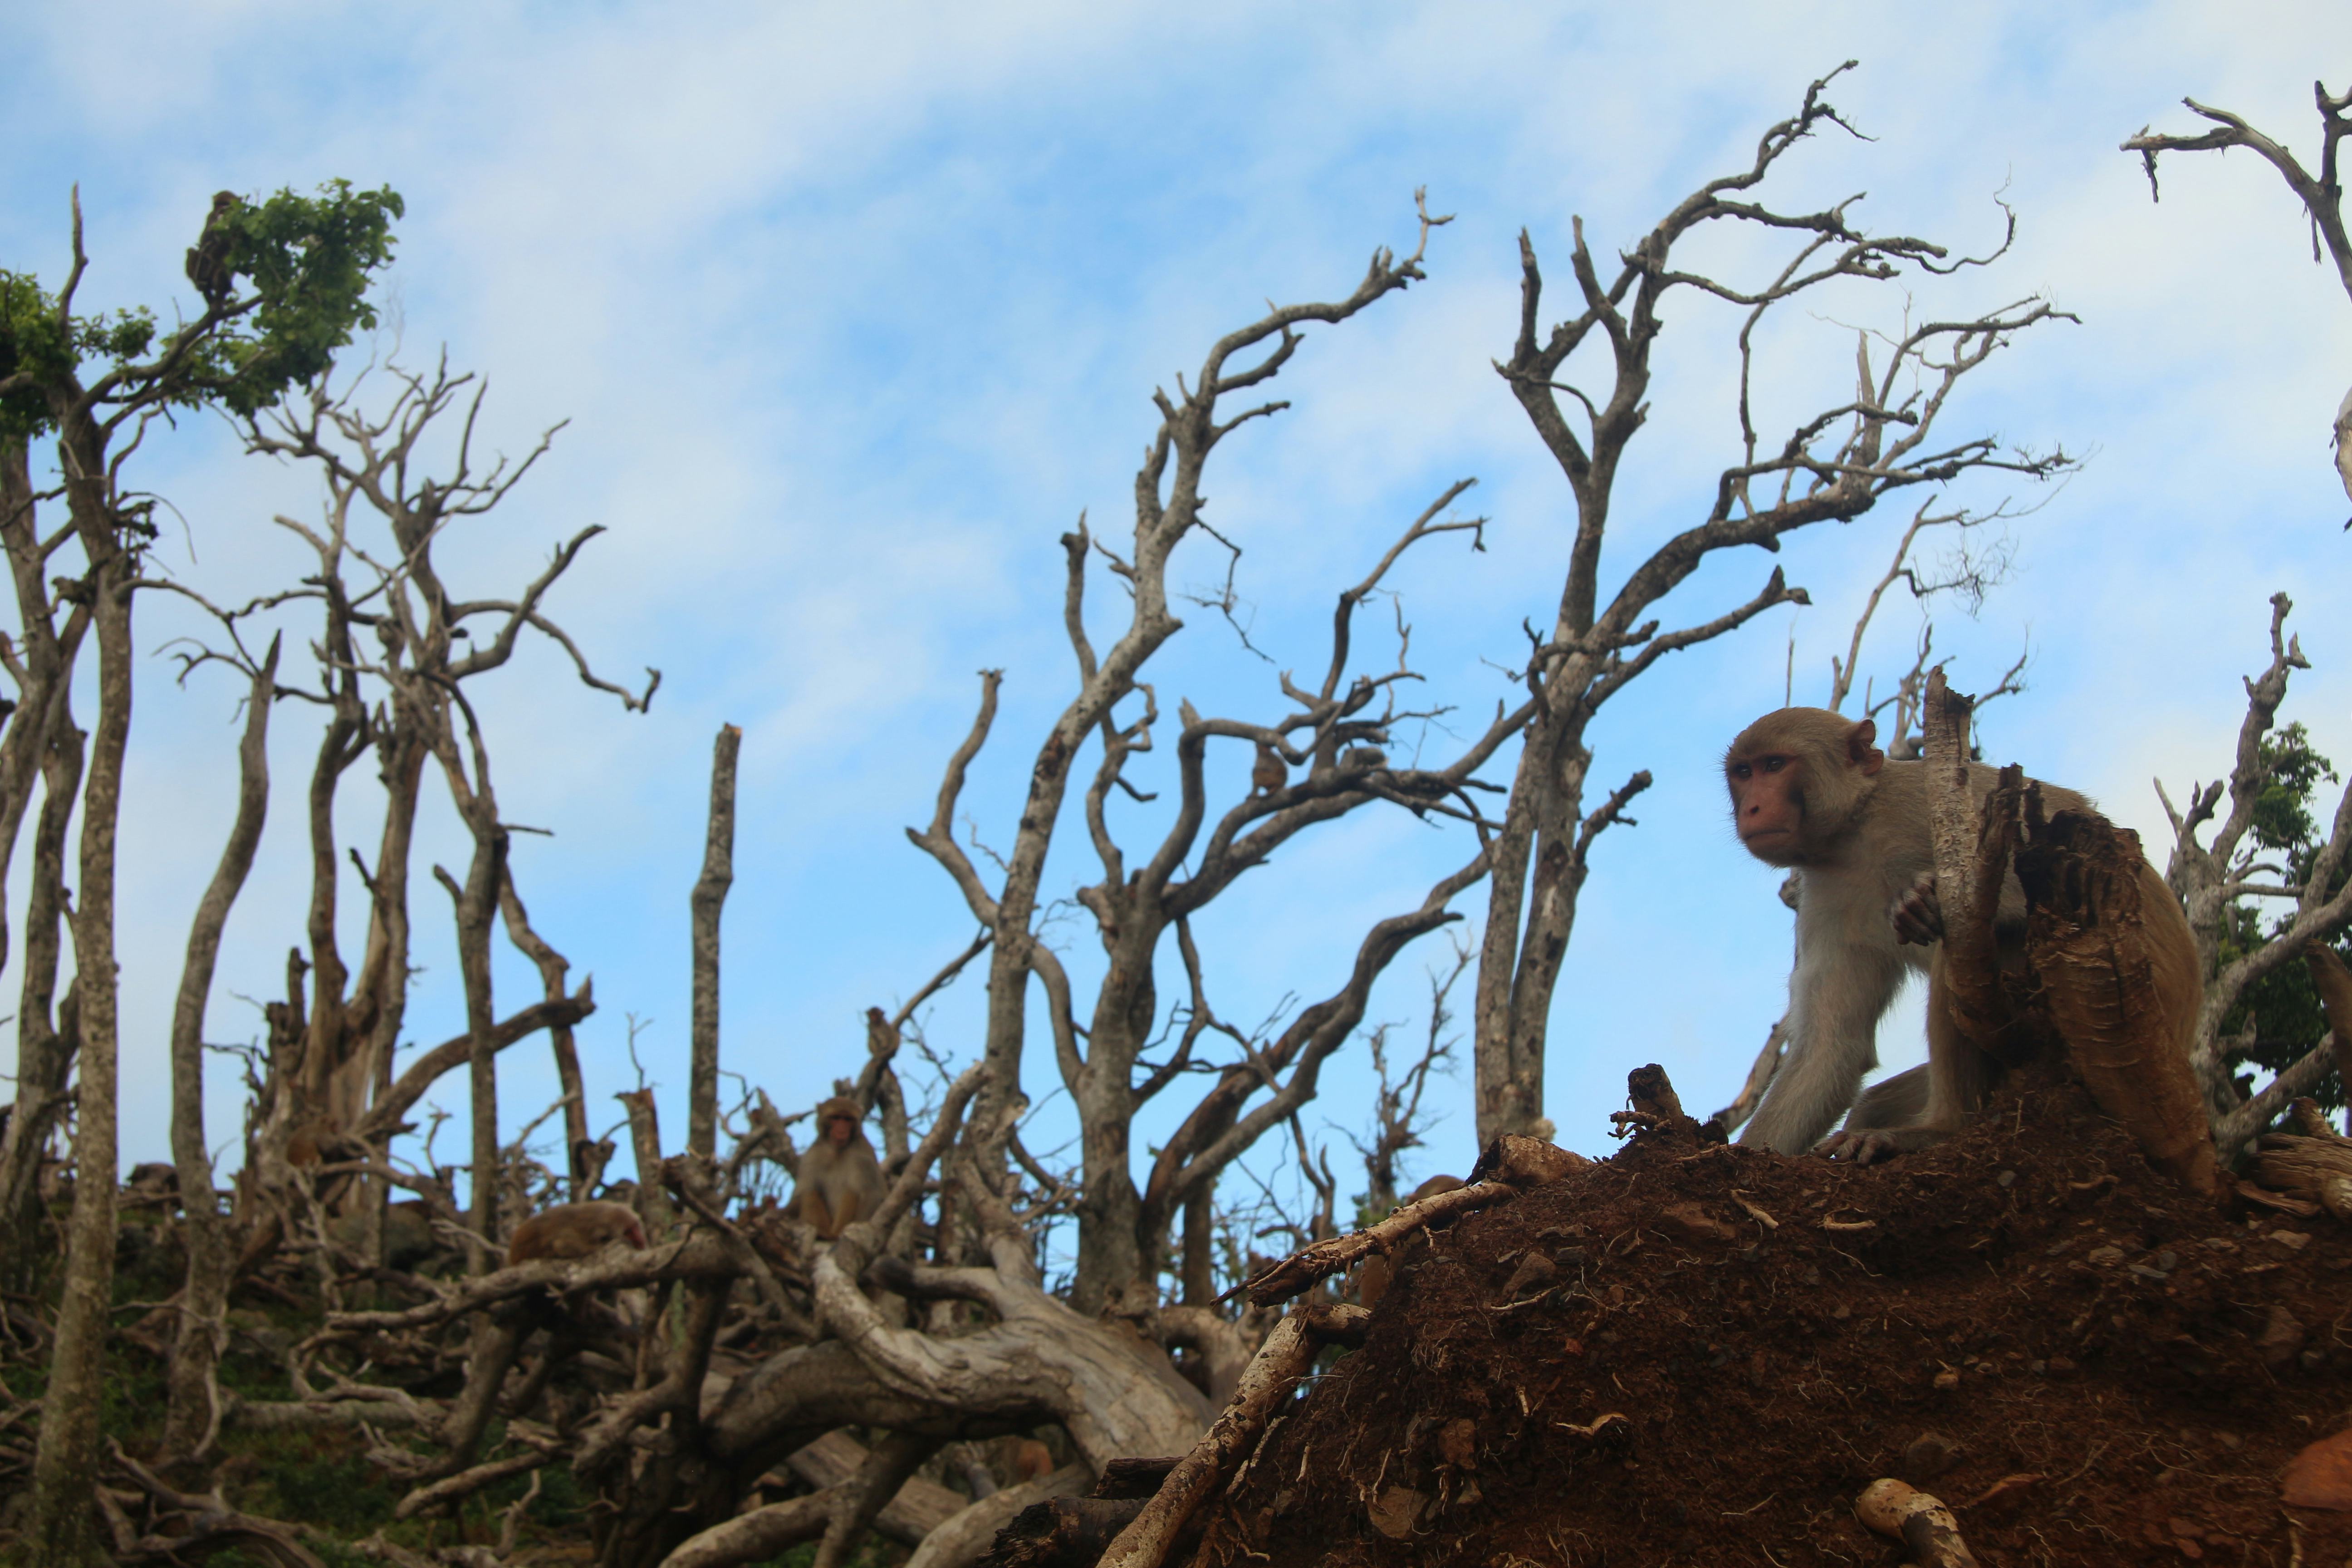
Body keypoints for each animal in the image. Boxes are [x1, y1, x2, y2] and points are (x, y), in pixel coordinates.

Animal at [184, 191, 239, 310]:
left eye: (226, 204)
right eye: (218, 204)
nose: (221, 210)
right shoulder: (211, 216)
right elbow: (204, 240)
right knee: (192, 252)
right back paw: (200, 283)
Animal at [790, 1097, 886, 1240]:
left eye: (848, 1119)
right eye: (836, 1118)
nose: (842, 1131)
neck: (837, 1151)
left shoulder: (861, 1157)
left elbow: (871, 1194)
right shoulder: (812, 1156)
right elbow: (800, 1194)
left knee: (852, 1190)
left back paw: (835, 1235)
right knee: (810, 1192)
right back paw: (822, 1232)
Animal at [1726, 707, 2198, 1163]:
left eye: (1774, 765)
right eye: (1744, 773)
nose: (1751, 809)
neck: (1854, 836)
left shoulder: (1922, 806)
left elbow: (2033, 873)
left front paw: (1922, 897)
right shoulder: (1825, 898)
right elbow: (1832, 1050)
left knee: (1968, 939)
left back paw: (1940, 1129)